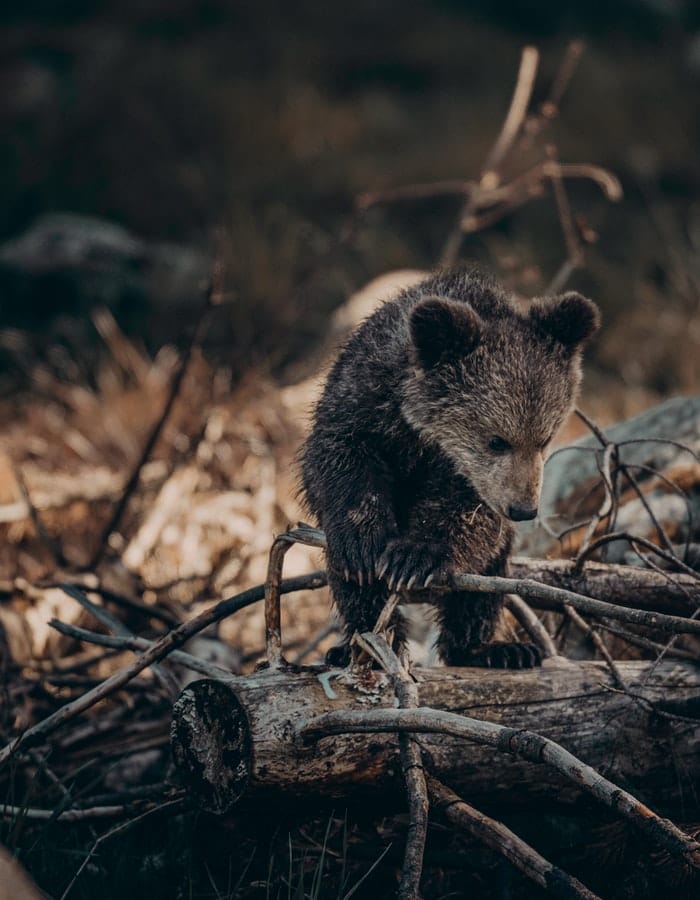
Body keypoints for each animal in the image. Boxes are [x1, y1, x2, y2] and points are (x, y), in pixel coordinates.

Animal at [299, 267, 600, 668]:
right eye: (497, 440)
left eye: (545, 438)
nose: (523, 509)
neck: (423, 433)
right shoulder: (361, 406)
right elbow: (337, 464)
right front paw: (362, 545)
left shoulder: (471, 482)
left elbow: (467, 517)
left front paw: (414, 558)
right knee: (354, 589)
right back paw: (361, 644)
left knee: (482, 586)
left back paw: (493, 649)